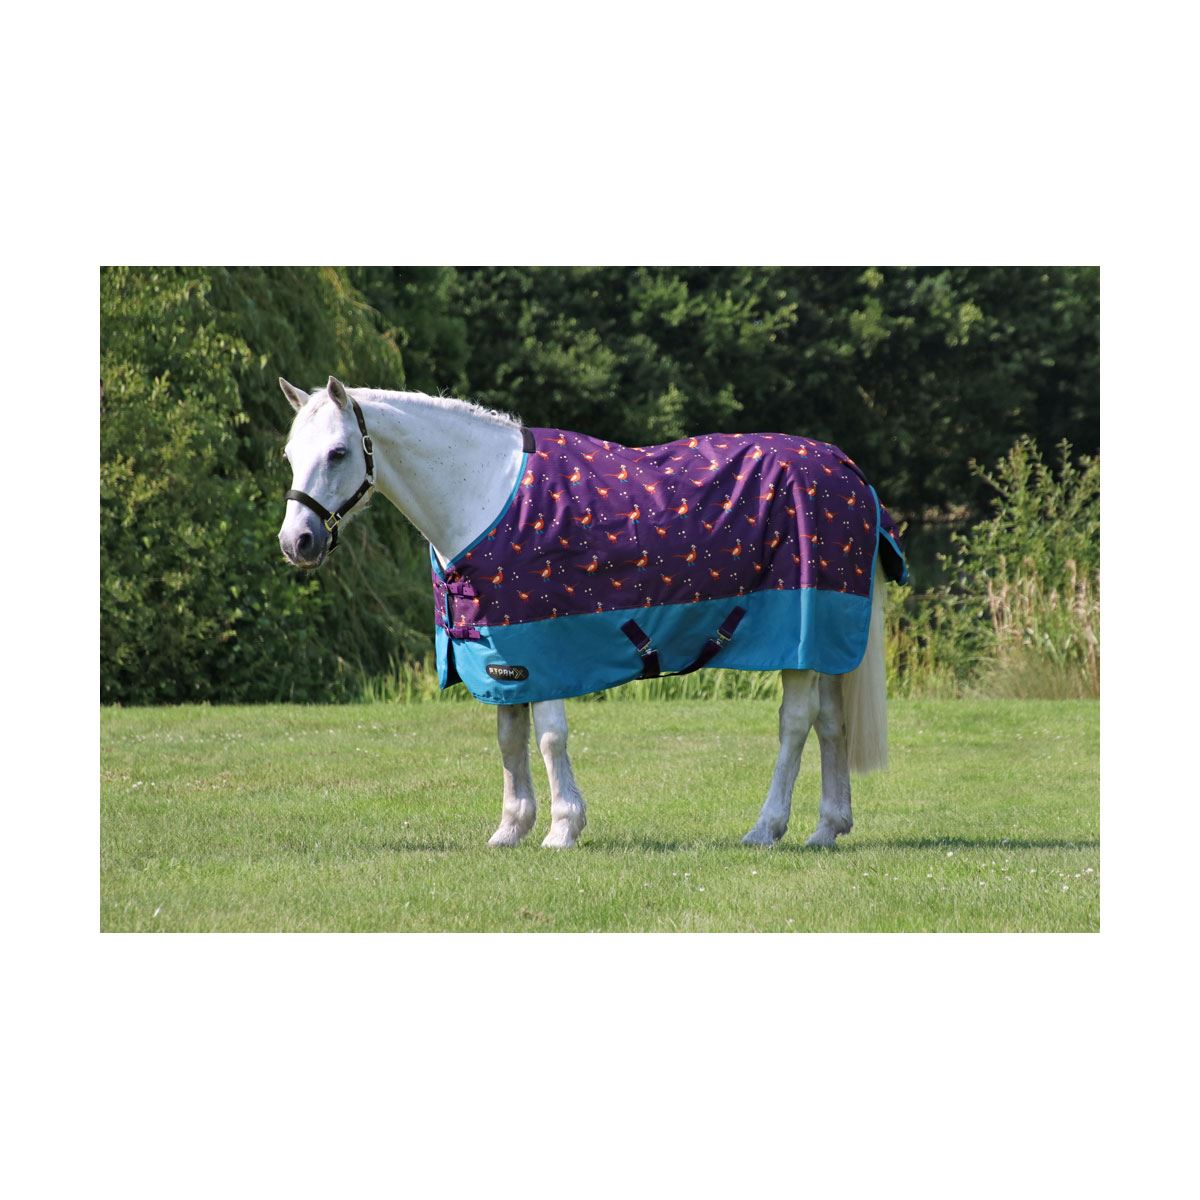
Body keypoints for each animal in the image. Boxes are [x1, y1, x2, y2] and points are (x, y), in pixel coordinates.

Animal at [277, 376, 907, 850]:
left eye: (338, 453)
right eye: (289, 455)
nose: (296, 541)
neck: (485, 496)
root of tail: (848, 471)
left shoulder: (547, 646)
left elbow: (550, 738)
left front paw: (562, 829)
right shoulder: (504, 652)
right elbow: (509, 739)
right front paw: (510, 829)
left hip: (799, 634)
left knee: (795, 724)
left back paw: (766, 828)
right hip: (824, 644)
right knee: (831, 723)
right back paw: (826, 829)